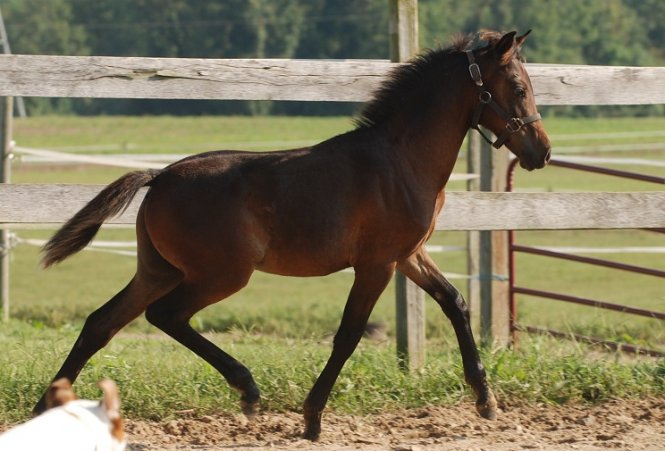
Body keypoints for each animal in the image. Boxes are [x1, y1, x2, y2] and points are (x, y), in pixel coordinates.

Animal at [34, 30, 551, 440]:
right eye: (518, 87)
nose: (542, 152)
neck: (400, 161)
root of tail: (159, 176)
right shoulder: (378, 264)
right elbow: (349, 334)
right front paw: (312, 417)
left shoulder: (409, 256)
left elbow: (455, 303)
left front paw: (486, 400)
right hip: (221, 275)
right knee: (166, 315)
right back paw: (247, 388)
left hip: (157, 270)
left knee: (101, 322)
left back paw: (45, 408)